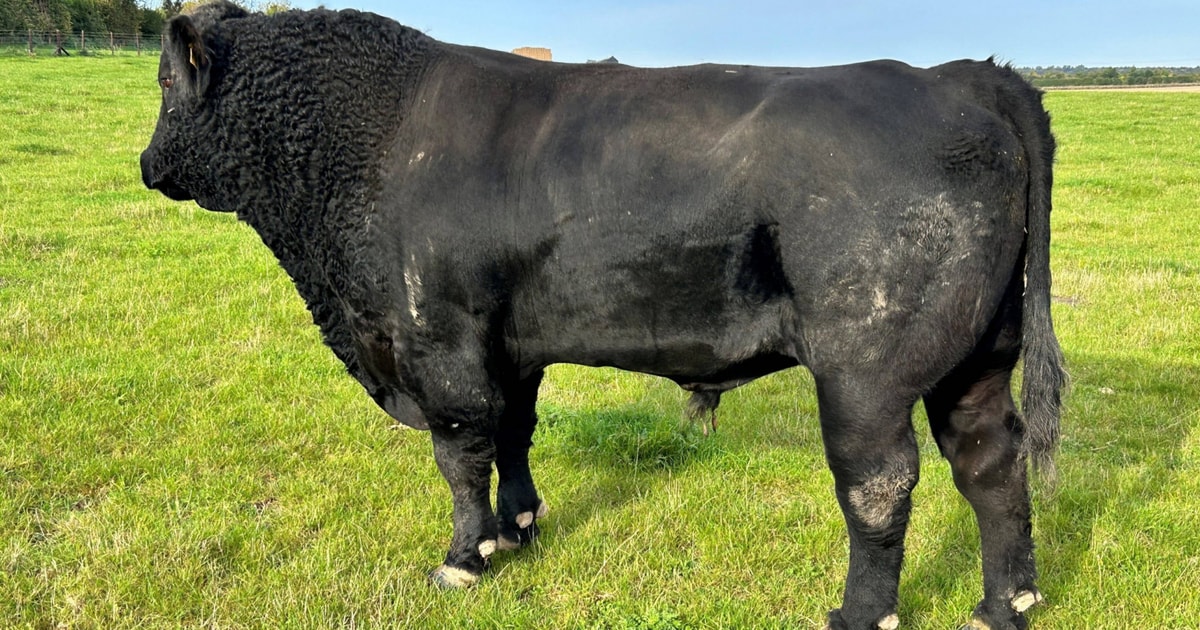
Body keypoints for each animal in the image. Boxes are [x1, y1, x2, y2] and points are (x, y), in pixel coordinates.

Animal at [140, 3, 1066, 628]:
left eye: (163, 81)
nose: (146, 164)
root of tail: (955, 73)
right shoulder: (510, 344)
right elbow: (514, 432)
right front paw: (516, 529)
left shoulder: (439, 338)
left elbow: (461, 454)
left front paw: (461, 559)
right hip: (978, 357)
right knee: (990, 461)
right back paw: (1004, 602)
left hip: (865, 370)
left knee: (878, 483)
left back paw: (861, 612)